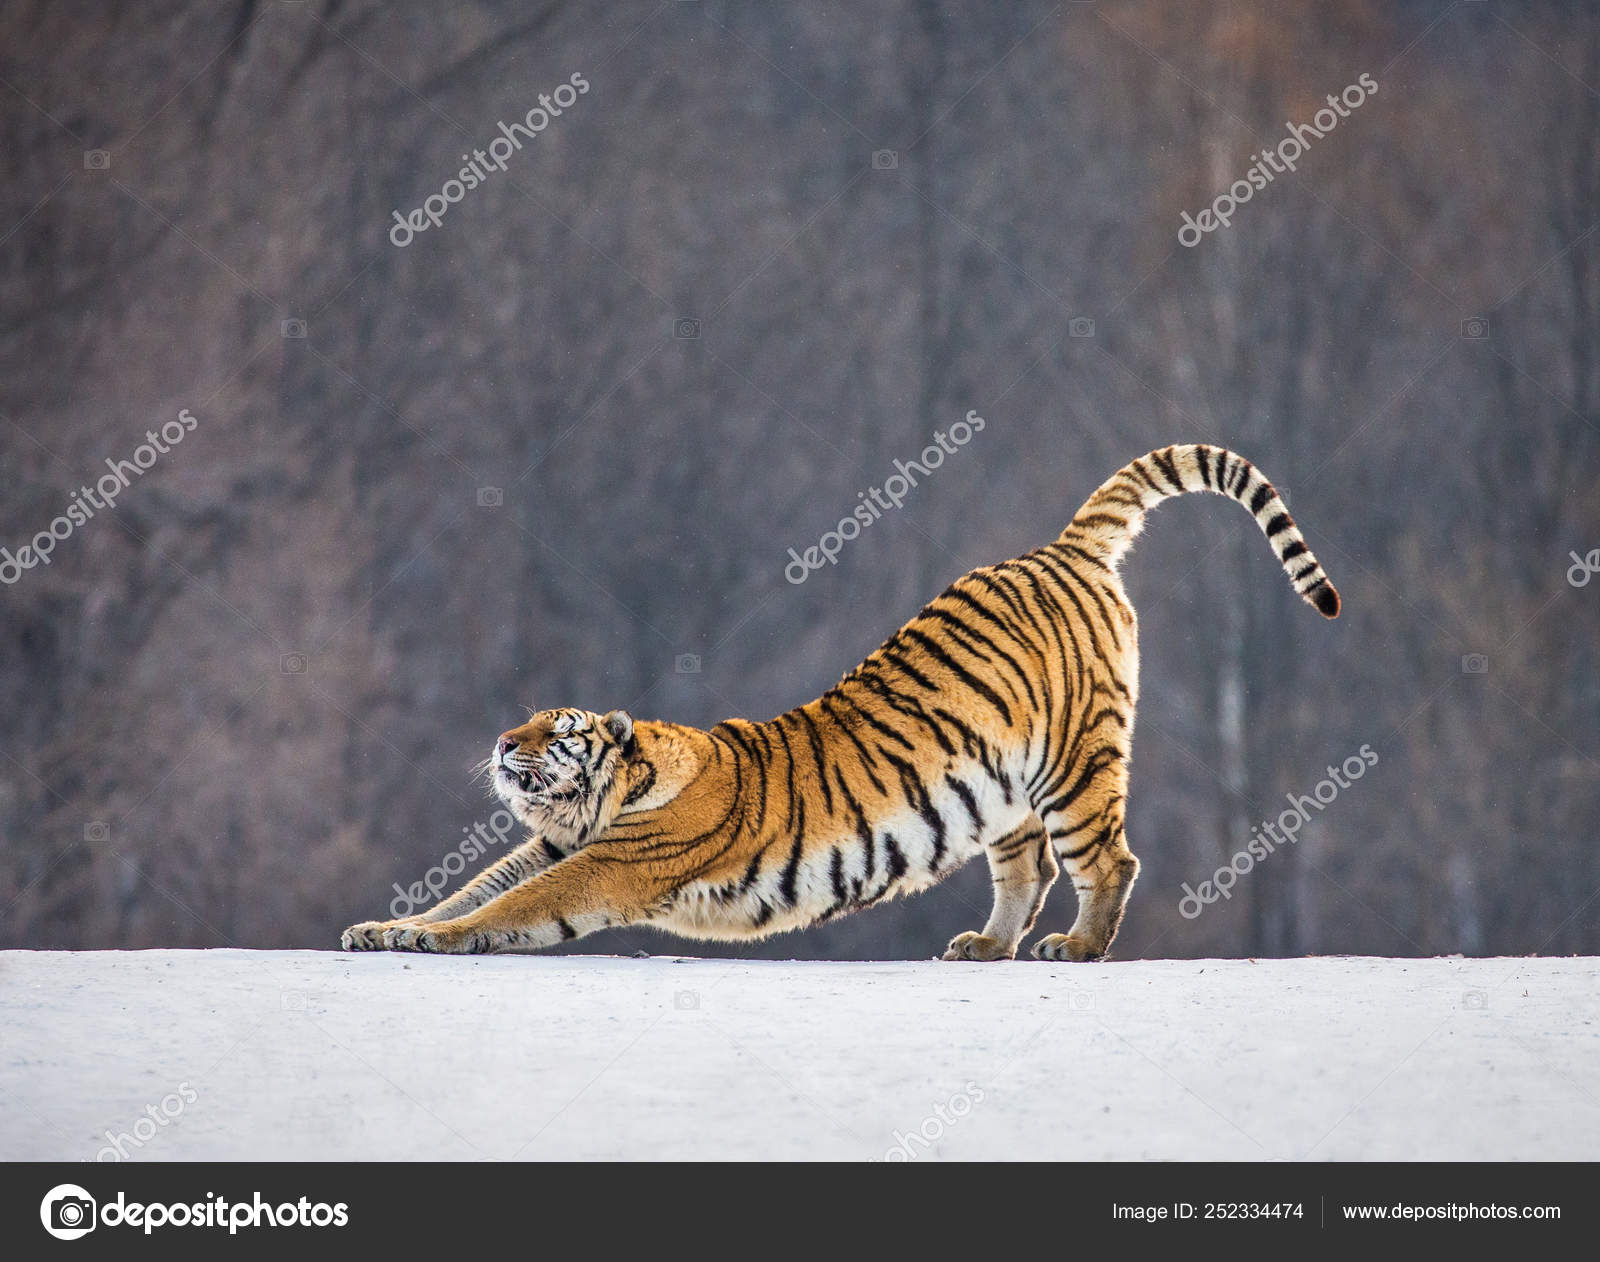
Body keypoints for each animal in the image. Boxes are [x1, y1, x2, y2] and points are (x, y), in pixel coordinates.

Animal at [341, 443, 1338, 961]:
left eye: (561, 730)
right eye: (531, 720)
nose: (503, 743)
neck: (606, 799)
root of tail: (1057, 548)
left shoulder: (609, 865)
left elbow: (505, 909)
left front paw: (432, 940)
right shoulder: (550, 843)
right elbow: (472, 886)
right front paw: (385, 927)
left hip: (1077, 764)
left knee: (1110, 861)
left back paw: (1079, 948)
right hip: (1006, 791)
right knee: (1028, 871)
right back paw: (988, 946)